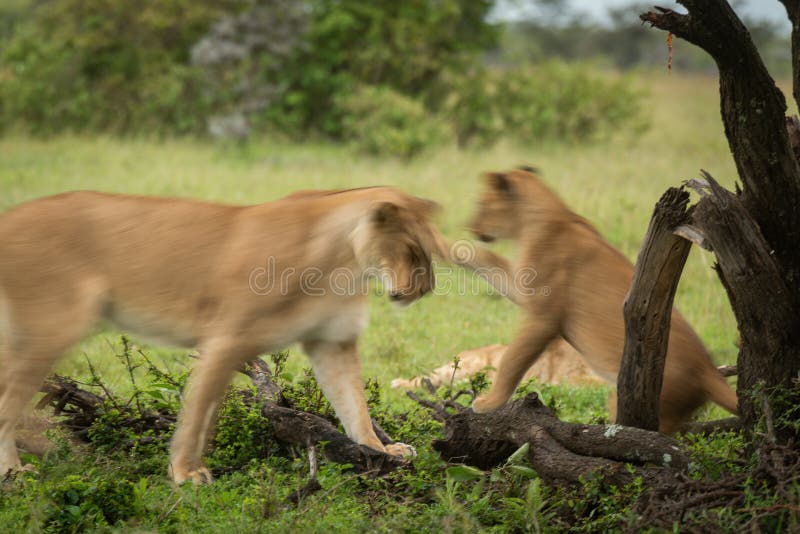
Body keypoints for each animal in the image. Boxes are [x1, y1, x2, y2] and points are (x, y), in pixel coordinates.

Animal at [0, 186, 442, 483]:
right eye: (414, 251)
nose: (428, 289)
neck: (344, 262)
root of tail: (10, 217)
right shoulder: (226, 338)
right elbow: (198, 414)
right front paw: (185, 473)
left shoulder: (332, 343)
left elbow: (354, 405)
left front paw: (382, 450)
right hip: (51, 328)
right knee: (6, 405)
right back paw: (14, 473)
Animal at [453, 168, 737, 433]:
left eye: (482, 204)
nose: (470, 227)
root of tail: (707, 368)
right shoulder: (522, 287)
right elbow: (490, 261)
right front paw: (455, 249)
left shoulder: (543, 318)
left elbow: (512, 360)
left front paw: (488, 403)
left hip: (639, 400)